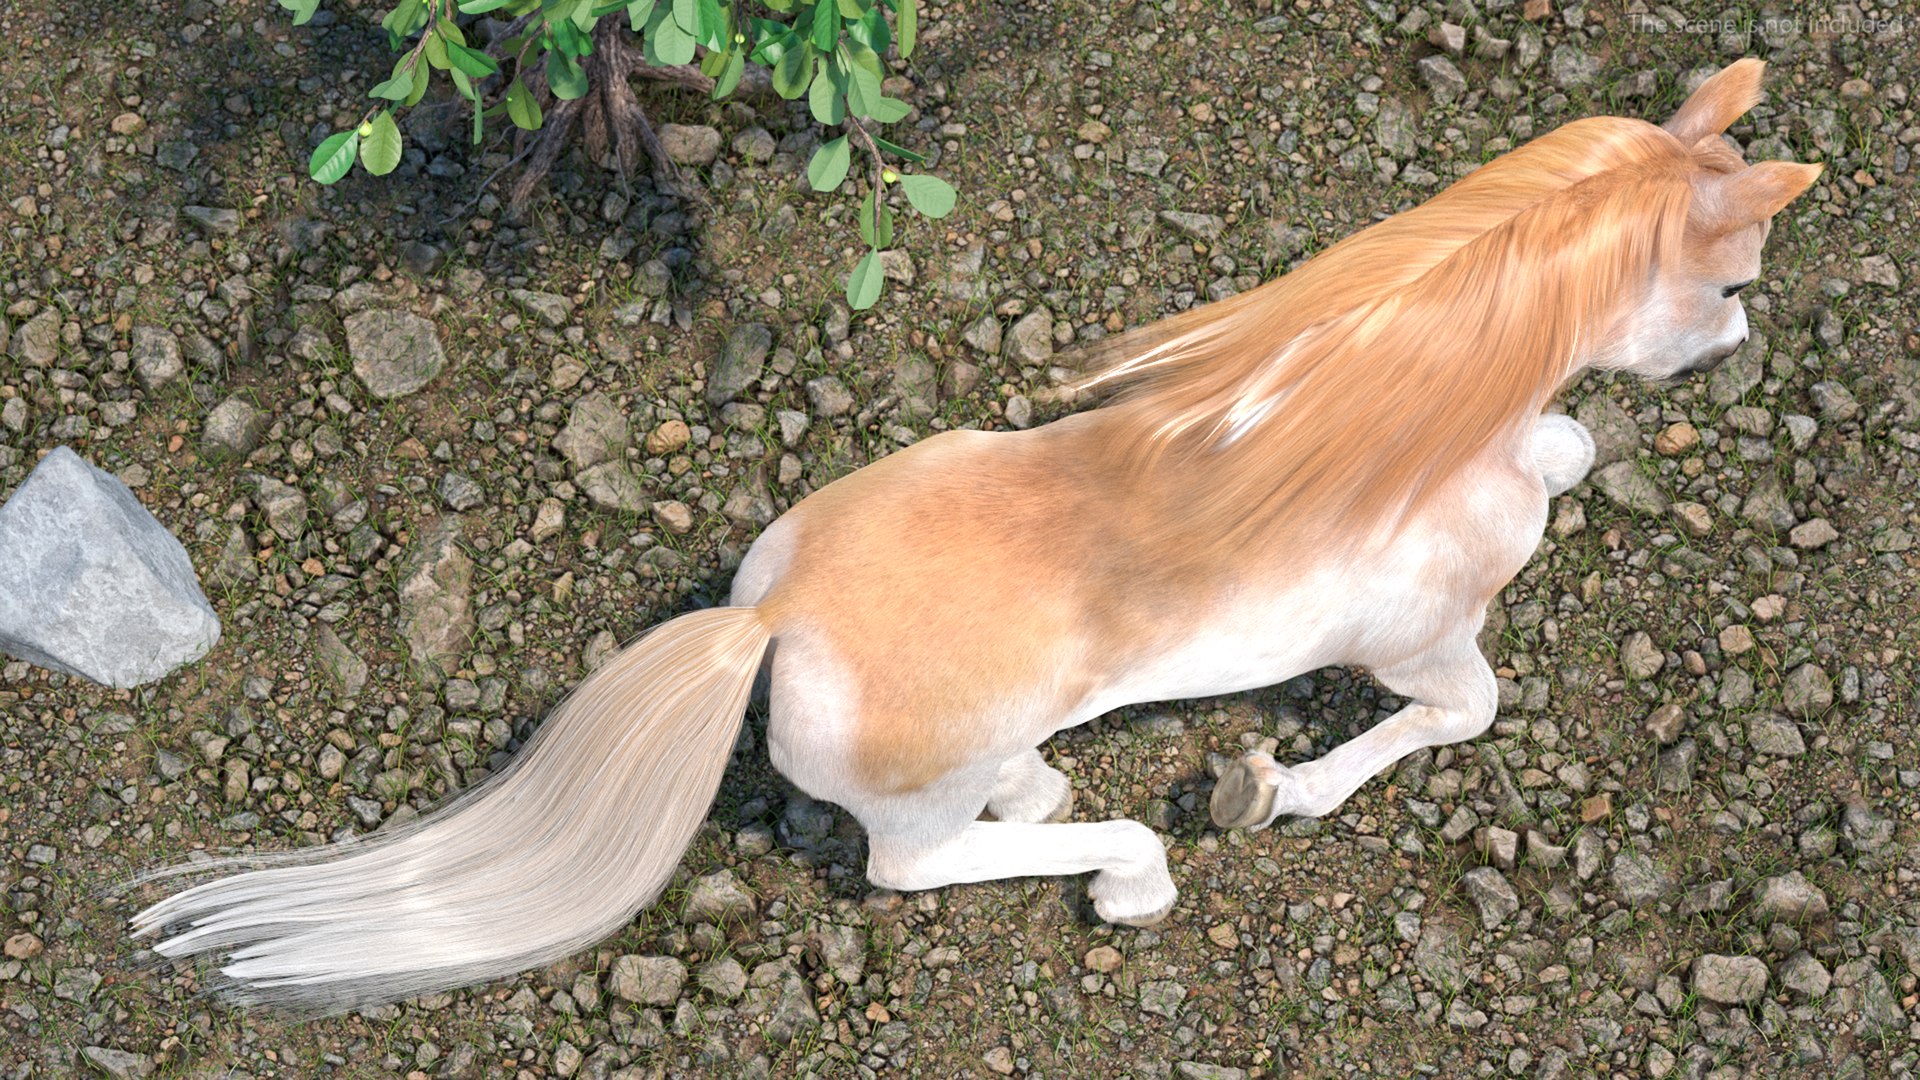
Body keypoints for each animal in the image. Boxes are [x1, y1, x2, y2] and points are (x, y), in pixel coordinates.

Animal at [132, 58, 1821, 1013]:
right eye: (1734, 280)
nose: (1737, 349)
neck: (1372, 424)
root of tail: (775, 620)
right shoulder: (1424, 644)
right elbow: (1461, 713)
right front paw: (1279, 789)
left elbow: (1566, 449)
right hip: (923, 825)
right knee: (918, 872)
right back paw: (1131, 868)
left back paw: (1054, 782)